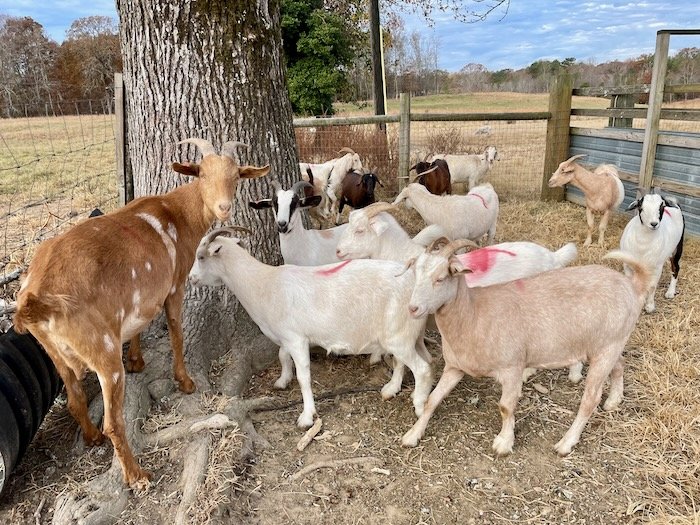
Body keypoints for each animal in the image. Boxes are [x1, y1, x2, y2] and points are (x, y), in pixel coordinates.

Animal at [13, 138, 270, 488]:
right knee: (113, 422)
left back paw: (92, 438)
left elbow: (139, 323)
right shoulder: (175, 283)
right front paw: (185, 381)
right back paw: (137, 475)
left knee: (75, 400)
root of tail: (33, 299)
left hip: (54, 351)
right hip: (103, 350)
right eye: (202, 173)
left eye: (235, 177)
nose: (223, 207)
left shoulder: (141, 295)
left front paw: (137, 361)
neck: (178, 215)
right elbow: (176, 330)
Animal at [188, 227, 433, 428]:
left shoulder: (296, 338)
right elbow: (282, 355)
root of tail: (414, 283)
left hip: (398, 335)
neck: (264, 284)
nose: (191, 279)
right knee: (407, 361)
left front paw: (306, 417)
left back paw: (419, 405)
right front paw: (282, 381)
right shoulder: (287, 336)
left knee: (422, 368)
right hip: (401, 333)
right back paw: (392, 389)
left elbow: (303, 377)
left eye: (201, 256)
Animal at [400, 237, 652, 456]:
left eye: (441, 278)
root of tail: (633, 286)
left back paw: (566, 442)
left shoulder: (512, 366)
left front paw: (503, 443)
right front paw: (412, 435)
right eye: (415, 274)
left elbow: (505, 407)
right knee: (620, 364)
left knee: (590, 399)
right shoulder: (454, 367)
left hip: (607, 348)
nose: (413, 308)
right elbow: (432, 399)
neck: (473, 314)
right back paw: (613, 400)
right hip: (610, 345)